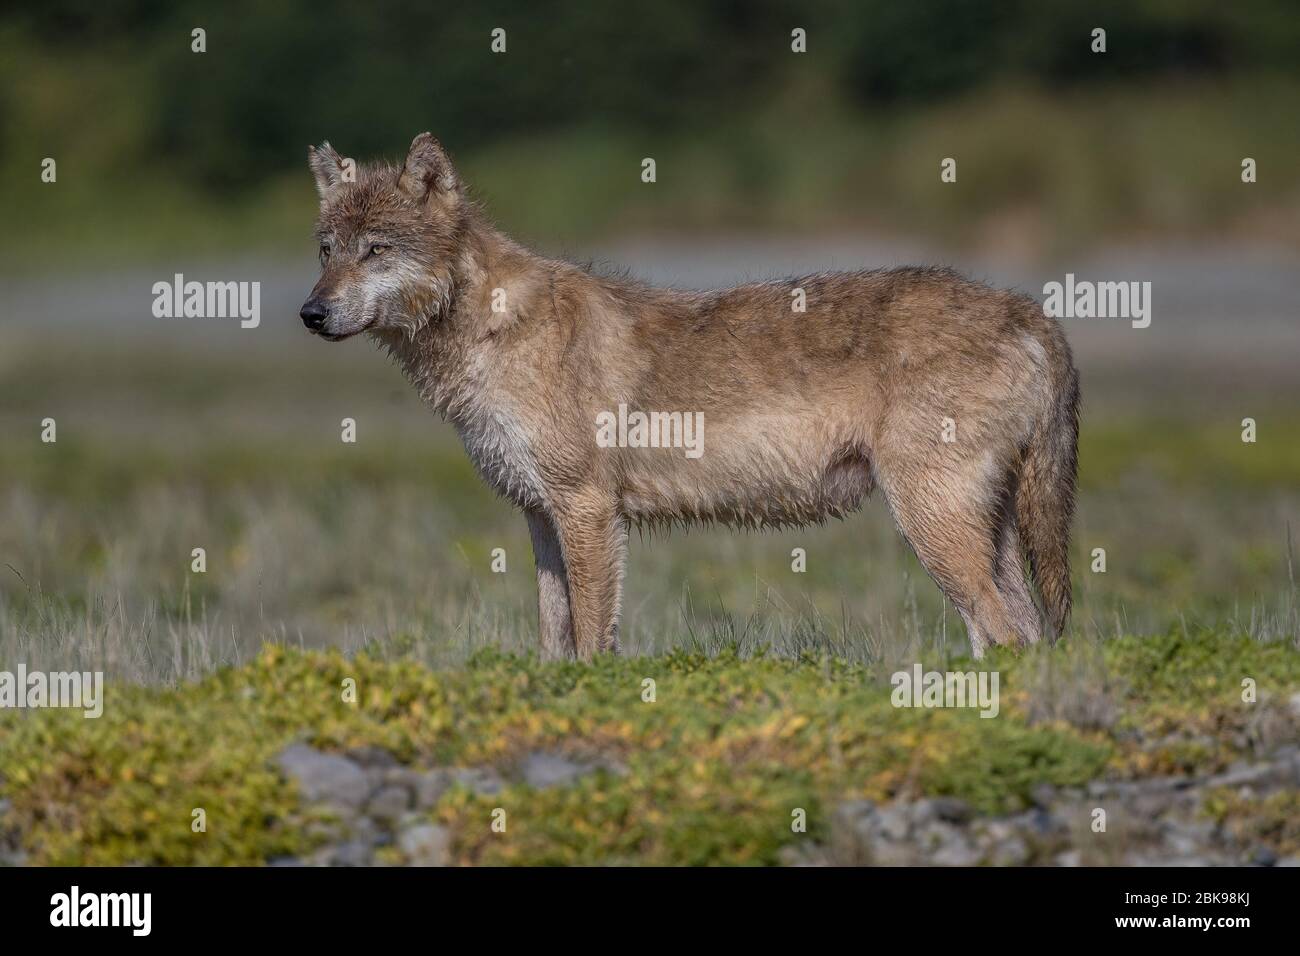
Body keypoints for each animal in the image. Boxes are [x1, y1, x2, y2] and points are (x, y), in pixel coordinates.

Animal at [300, 133, 1080, 661]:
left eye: (376, 250)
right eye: (326, 250)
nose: (309, 313)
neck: (491, 328)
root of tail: (1030, 311)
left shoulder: (587, 509)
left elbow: (593, 638)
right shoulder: (540, 515)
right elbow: (554, 639)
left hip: (930, 522)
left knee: (1004, 632)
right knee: (1027, 636)